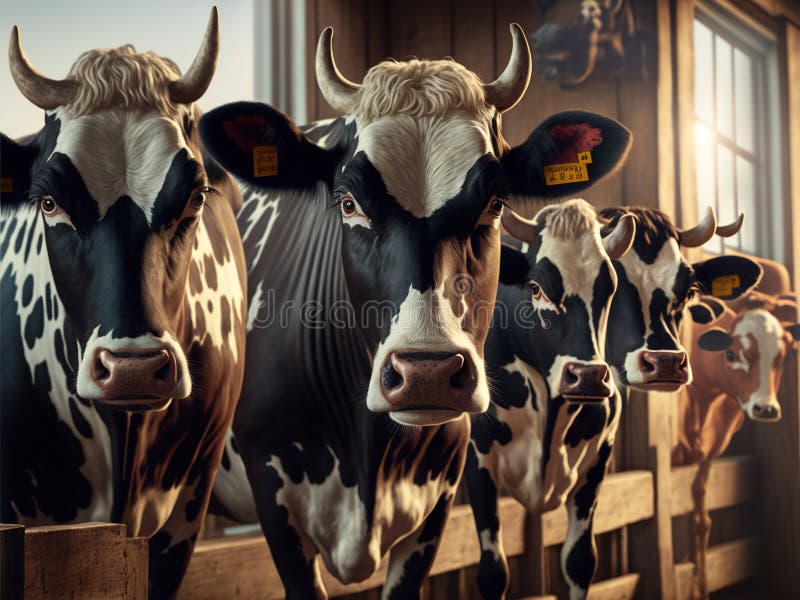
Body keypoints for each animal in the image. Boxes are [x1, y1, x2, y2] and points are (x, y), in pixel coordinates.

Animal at [464, 199, 636, 600]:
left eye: (608, 289)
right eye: (535, 287)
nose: (588, 375)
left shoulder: (598, 462)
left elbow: (579, 561)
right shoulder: (478, 464)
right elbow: (492, 572)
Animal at [673, 285, 799, 600]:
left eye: (783, 357)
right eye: (730, 353)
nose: (766, 409)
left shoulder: (711, 451)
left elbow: (700, 520)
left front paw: (701, 587)